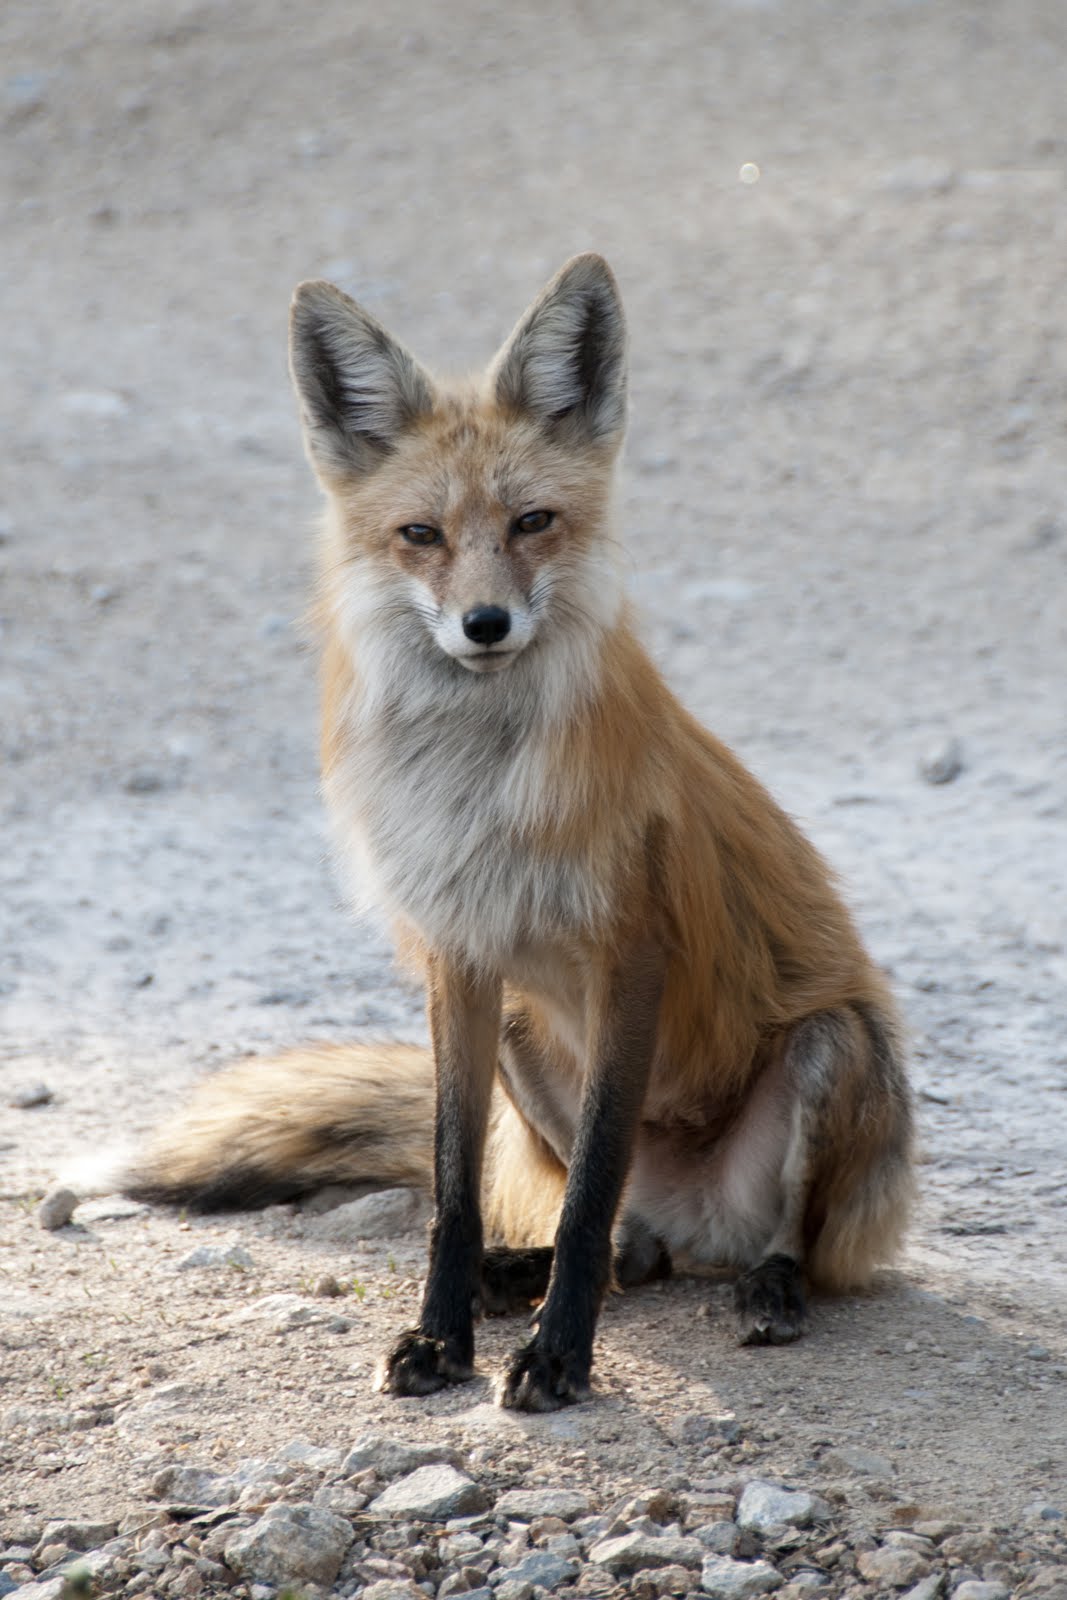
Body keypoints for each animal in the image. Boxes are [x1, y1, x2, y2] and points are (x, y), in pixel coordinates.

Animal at [126, 253, 914, 1413]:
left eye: (533, 522)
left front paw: (558, 1358)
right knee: (631, 1251)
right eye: (422, 536)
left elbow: (587, 1193)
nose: (484, 625)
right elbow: (455, 1191)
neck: (475, 789)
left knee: (766, 1240)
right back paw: (518, 1276)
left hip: (831, 1047)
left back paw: (762, 1291)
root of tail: (696, 1226)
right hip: (520, 1044)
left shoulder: (629, 951)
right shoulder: (458, 958)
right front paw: (440, 1333)